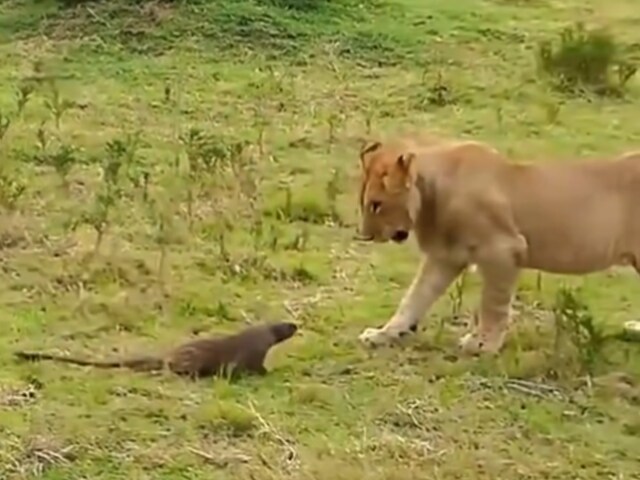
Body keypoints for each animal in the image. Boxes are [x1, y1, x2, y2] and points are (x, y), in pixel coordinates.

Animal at [355, 135, 640, 355]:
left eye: (376, 204)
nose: (365, 236)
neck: (430, 194)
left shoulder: (504, 249)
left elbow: (493, 302)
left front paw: (483, 344)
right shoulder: (445, 257)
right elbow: (414, 298)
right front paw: (383, 334)